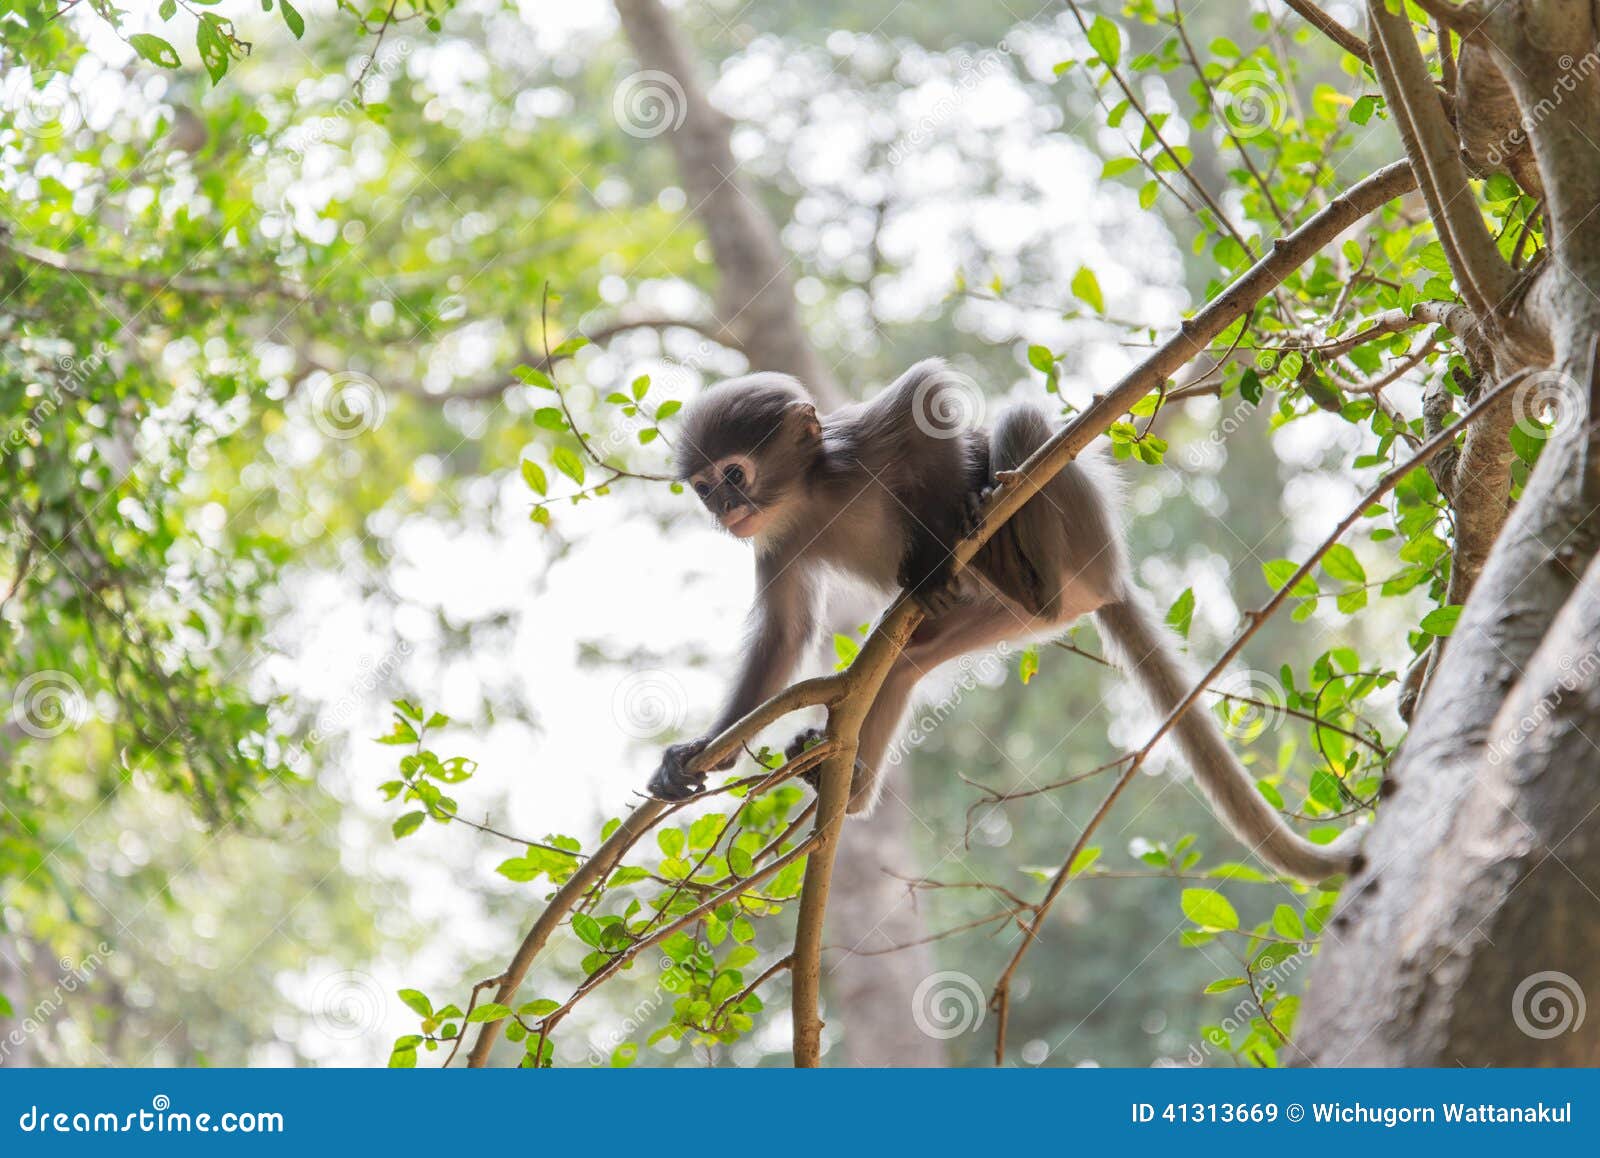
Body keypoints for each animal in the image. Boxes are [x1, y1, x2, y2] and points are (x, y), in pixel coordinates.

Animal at [646, 358, 1364, 883]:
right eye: (705, 488)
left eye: (735, 475)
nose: (724, 510)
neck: (811, 495)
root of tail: (1109, 584)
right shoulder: (777, 540)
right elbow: (786, 632)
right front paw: (701, 749)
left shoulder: (860, 450)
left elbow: (926, 399)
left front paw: (942, 537)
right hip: (992, 618)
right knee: (899, 664)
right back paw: (844, 783)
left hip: (1083, 542)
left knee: (1017, 425)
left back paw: (1003, 563)